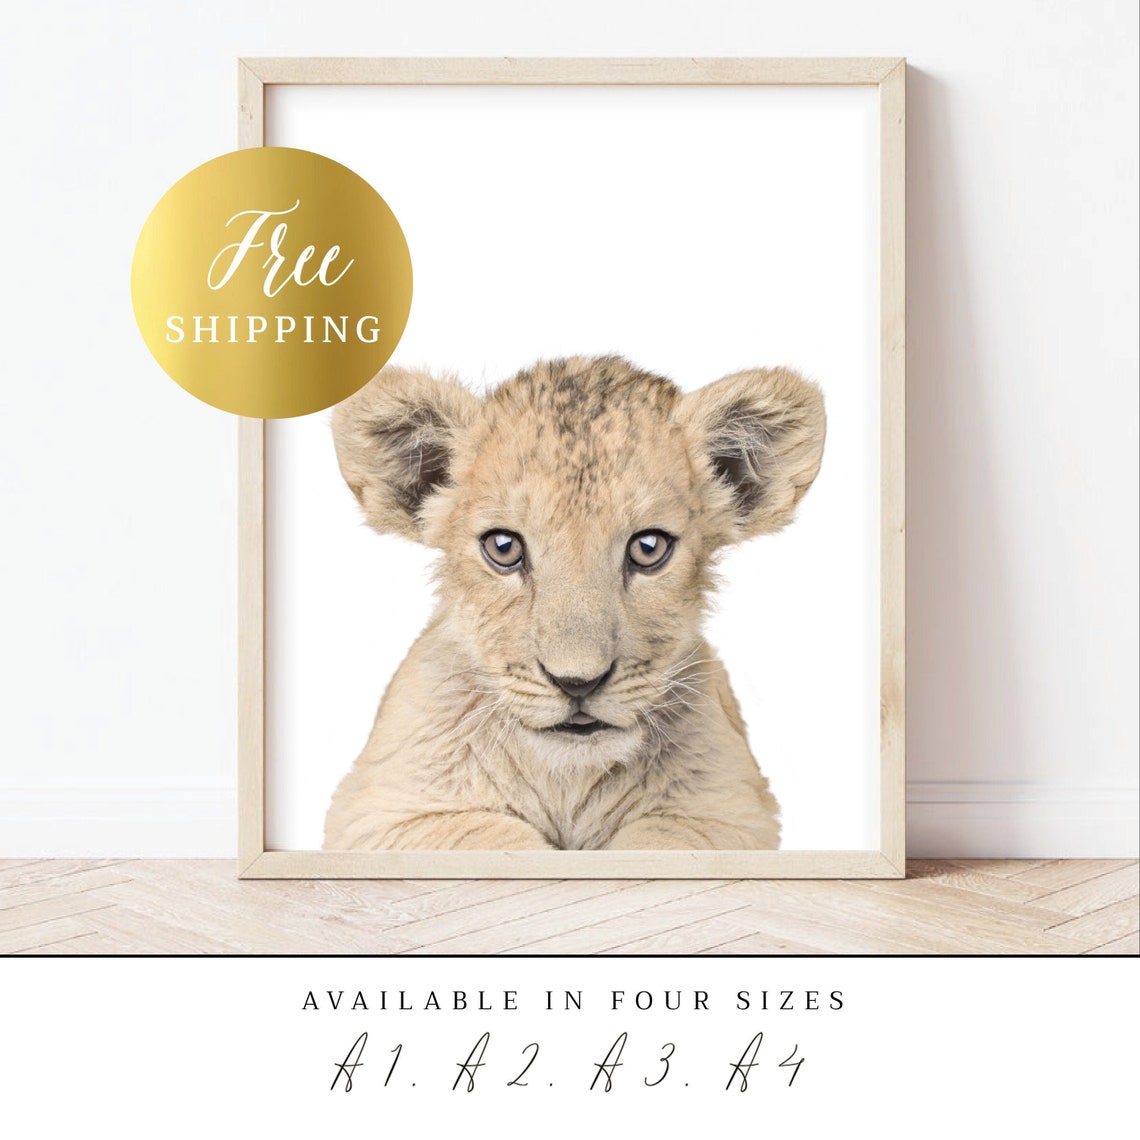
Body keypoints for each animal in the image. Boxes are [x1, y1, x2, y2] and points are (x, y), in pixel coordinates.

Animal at [323, 355, 825, 851]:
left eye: (649, 547)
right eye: (503, 547)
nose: (577, 683)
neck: (567, 780)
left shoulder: (731, 811)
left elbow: (658, 843)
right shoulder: (378, 810)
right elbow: (496, 841)